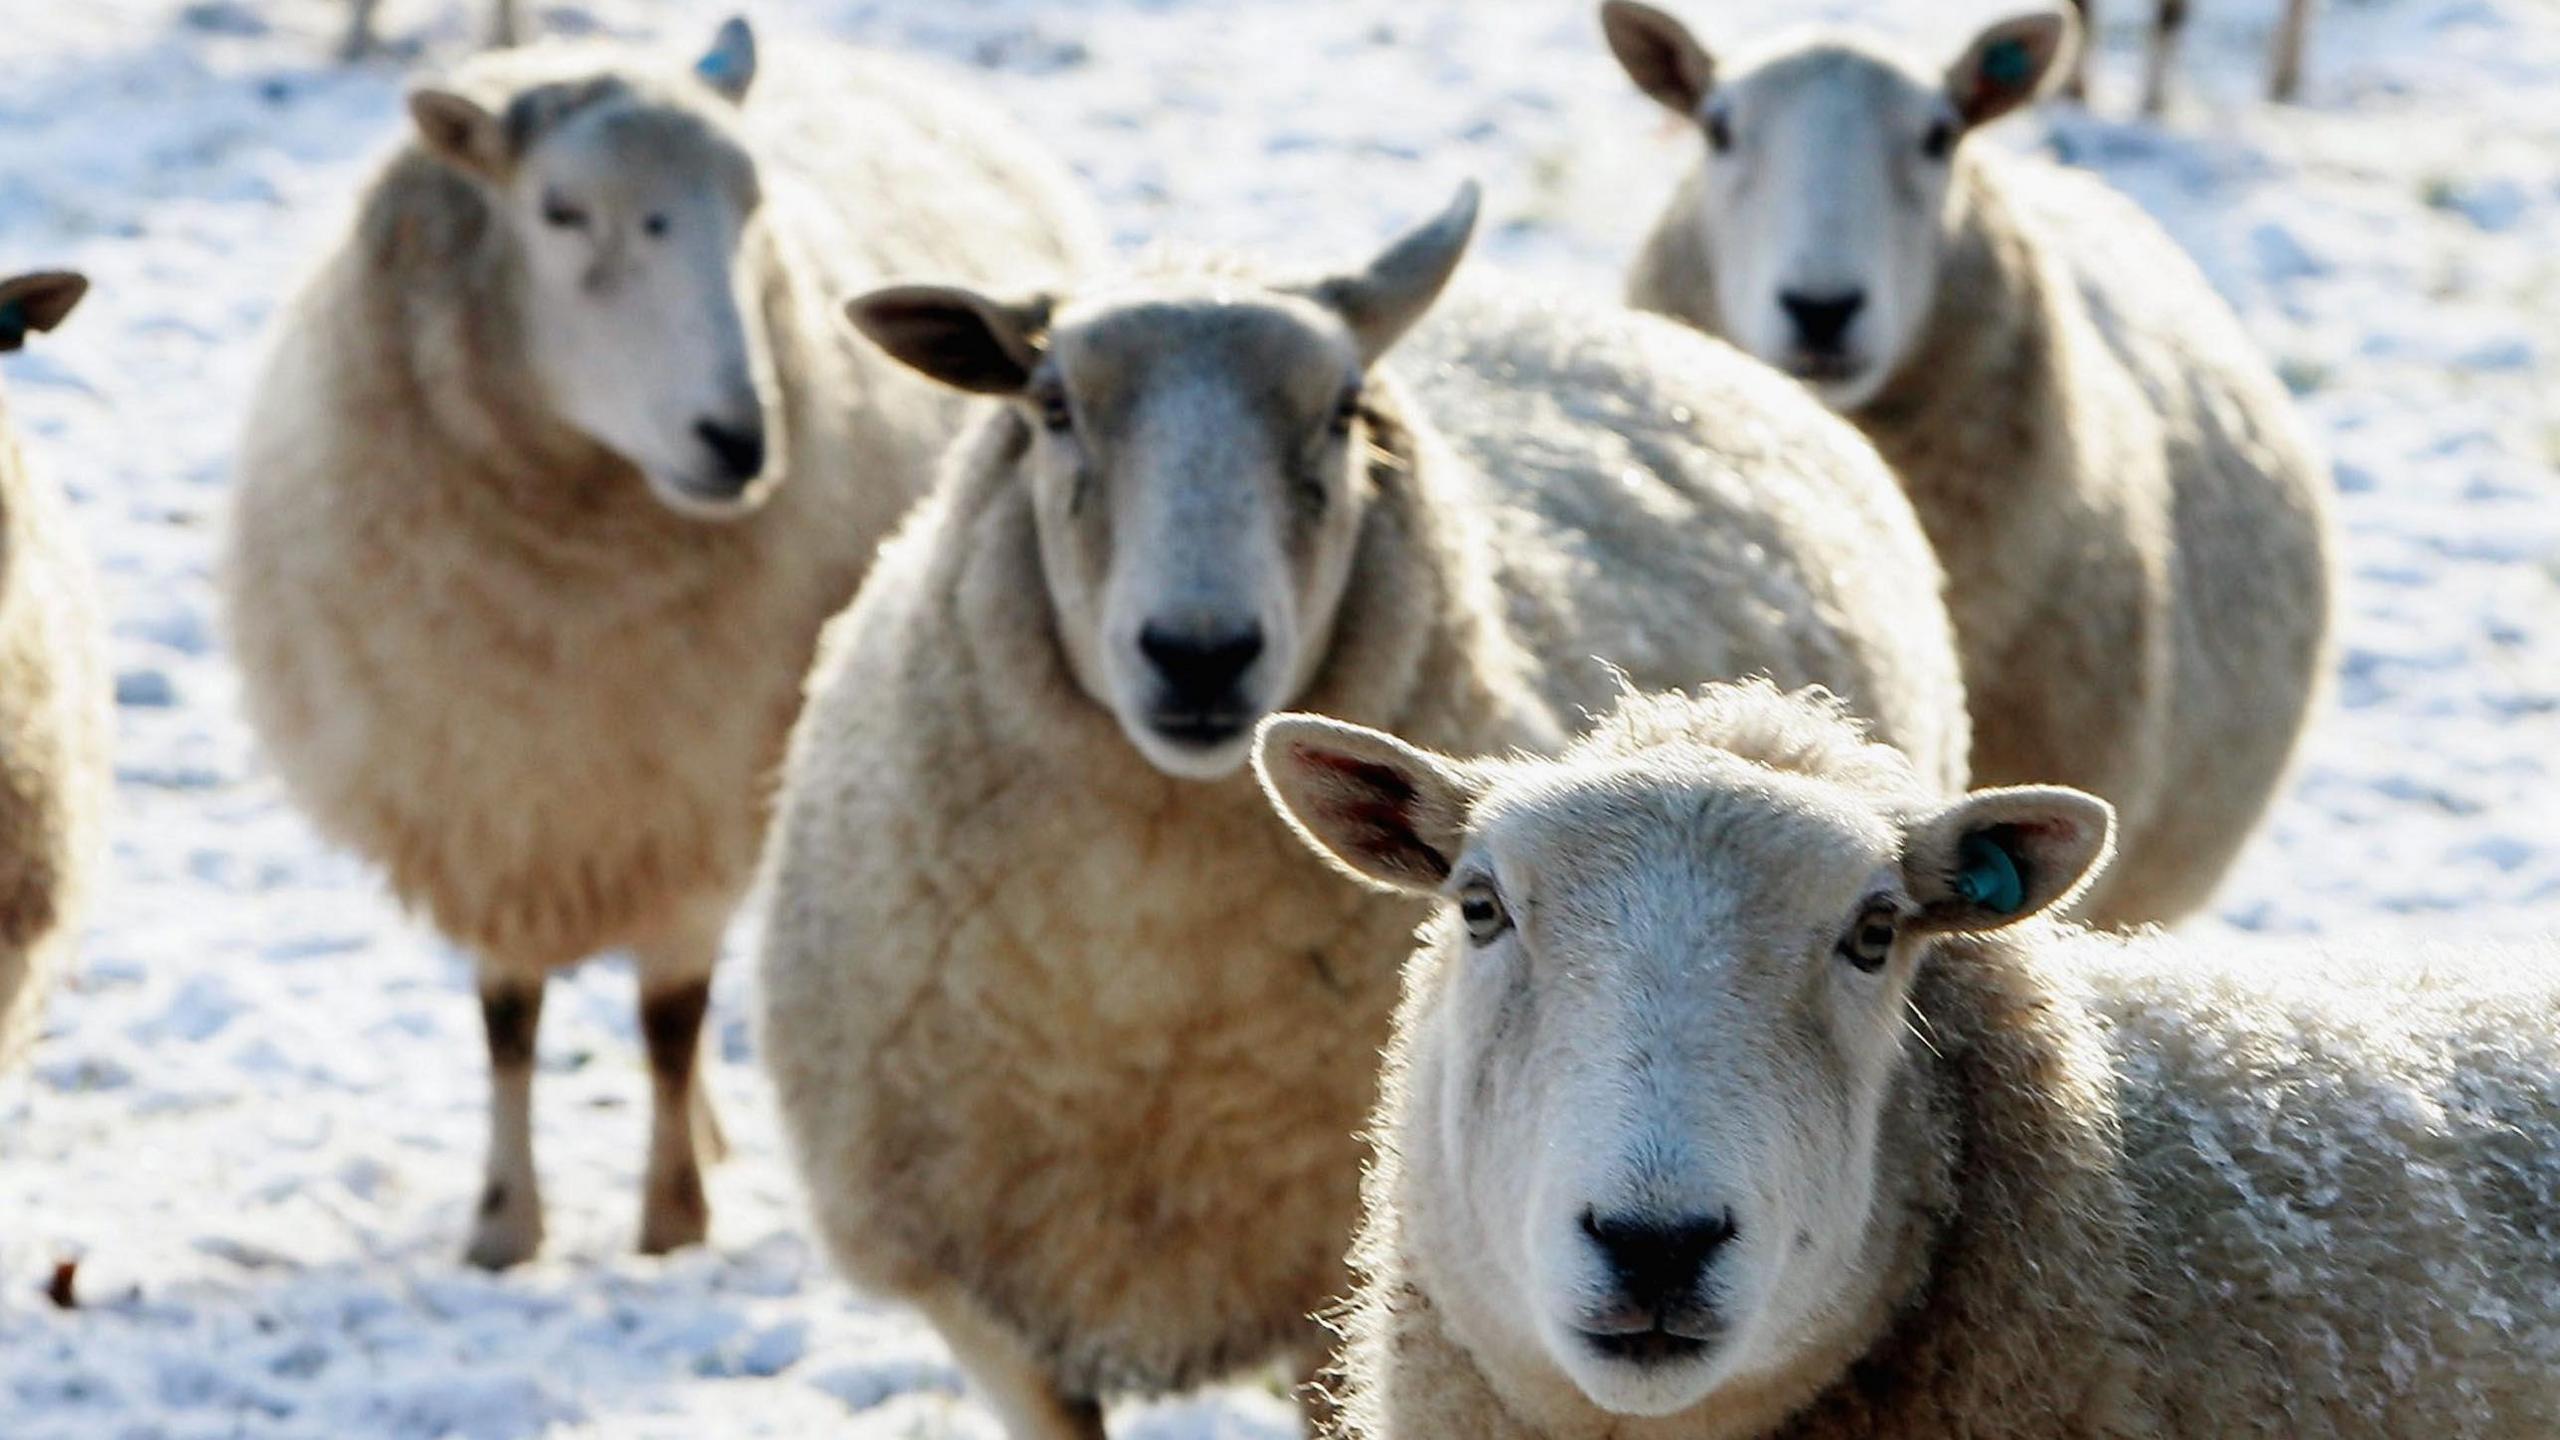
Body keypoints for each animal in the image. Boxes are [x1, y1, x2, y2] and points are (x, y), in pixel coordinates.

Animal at [223, 19, 1097, 1269]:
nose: (737, 438)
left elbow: (671, 1021)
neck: (572, 571)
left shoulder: (701, 791)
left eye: (751, 206)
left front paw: (671, 1218)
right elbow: (508, 1021)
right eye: (557, 210)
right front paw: (505, 1223)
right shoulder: (489, 800)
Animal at [755, 180, 1969, 1439]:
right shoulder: (989, 1320)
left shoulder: (1328, 1290)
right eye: (1049, 405)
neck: (1150, 979)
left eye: (1342, 410)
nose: (1201, 652)